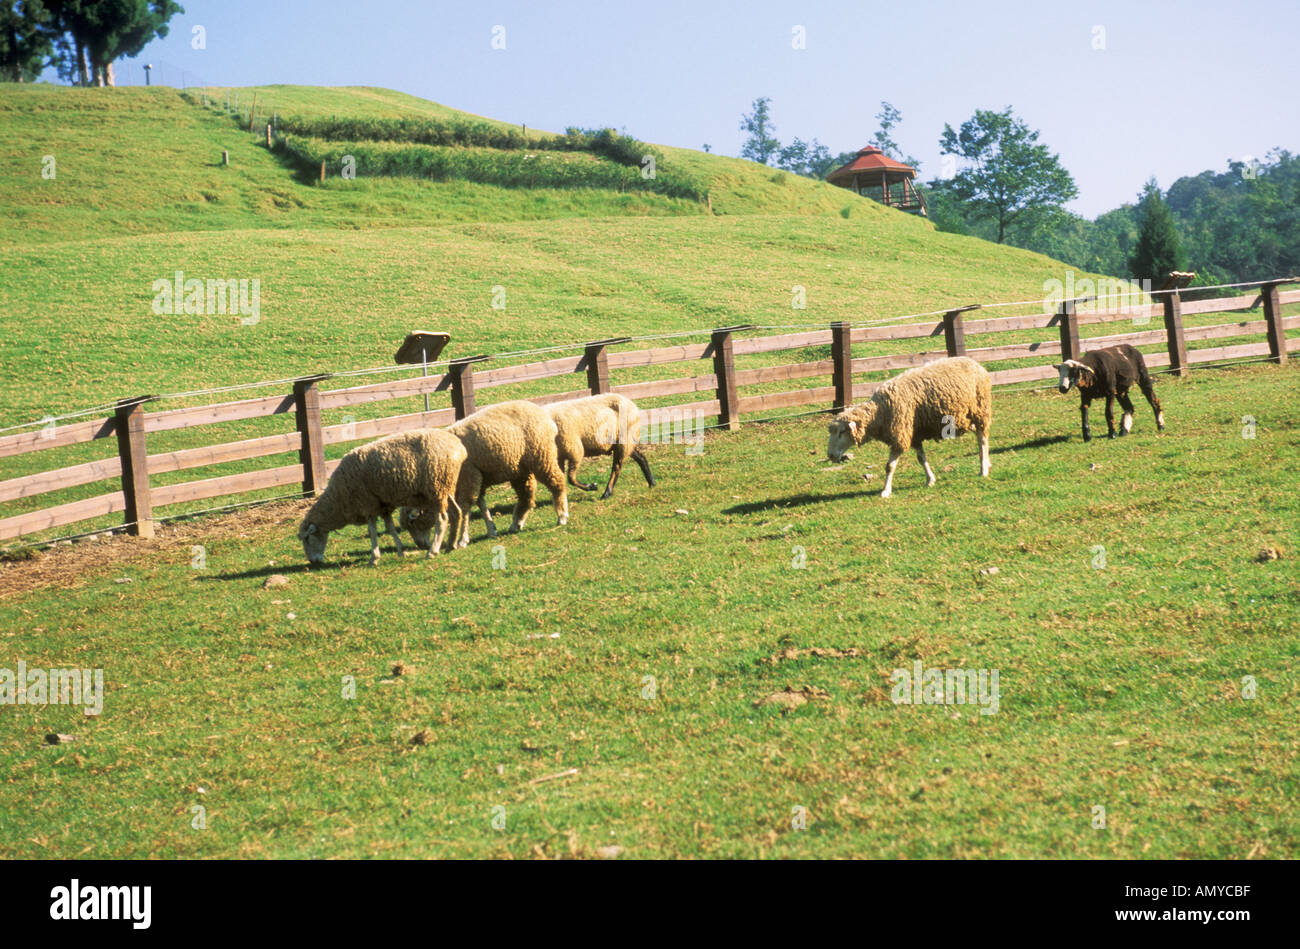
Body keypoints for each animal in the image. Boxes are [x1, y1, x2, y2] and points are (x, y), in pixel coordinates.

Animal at [297, 428, 467, 565]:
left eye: (307, 538)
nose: (313, 562)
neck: (339, 498)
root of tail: (459, 447)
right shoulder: (383, 506)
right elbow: (390, 528)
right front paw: (401, 551)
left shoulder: (368, 504)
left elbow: (372, 531)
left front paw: (374, 558)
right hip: (446, 487)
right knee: (456, 512)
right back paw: (451, 545)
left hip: (436, 488)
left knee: (442, 519)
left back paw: (433, 551)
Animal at [402, 400, 568, 550]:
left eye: (413, 522)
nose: (421, 546)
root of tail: (544, 414)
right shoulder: (477, 479)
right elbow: (481, 504)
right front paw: (491, 529)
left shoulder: (468, 477)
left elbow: (466, 508)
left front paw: (463, 540)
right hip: (519, 468)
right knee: (526, 496)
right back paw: (516, 523)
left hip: (542, 456)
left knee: (557, 482)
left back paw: (562, 516)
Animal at [826, 356, 992, 498]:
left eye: (842, 432)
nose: (831, 455)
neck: (880, 412)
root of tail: (975, 363)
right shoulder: (914, 434)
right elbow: (921, 458)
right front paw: (930, 479)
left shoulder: (900, 435)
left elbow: (890, 466)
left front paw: (886, 491)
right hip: (965, 418)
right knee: (979, 435)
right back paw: (988, 463)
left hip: (980, 411)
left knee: (982, 440)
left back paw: (983, 469)